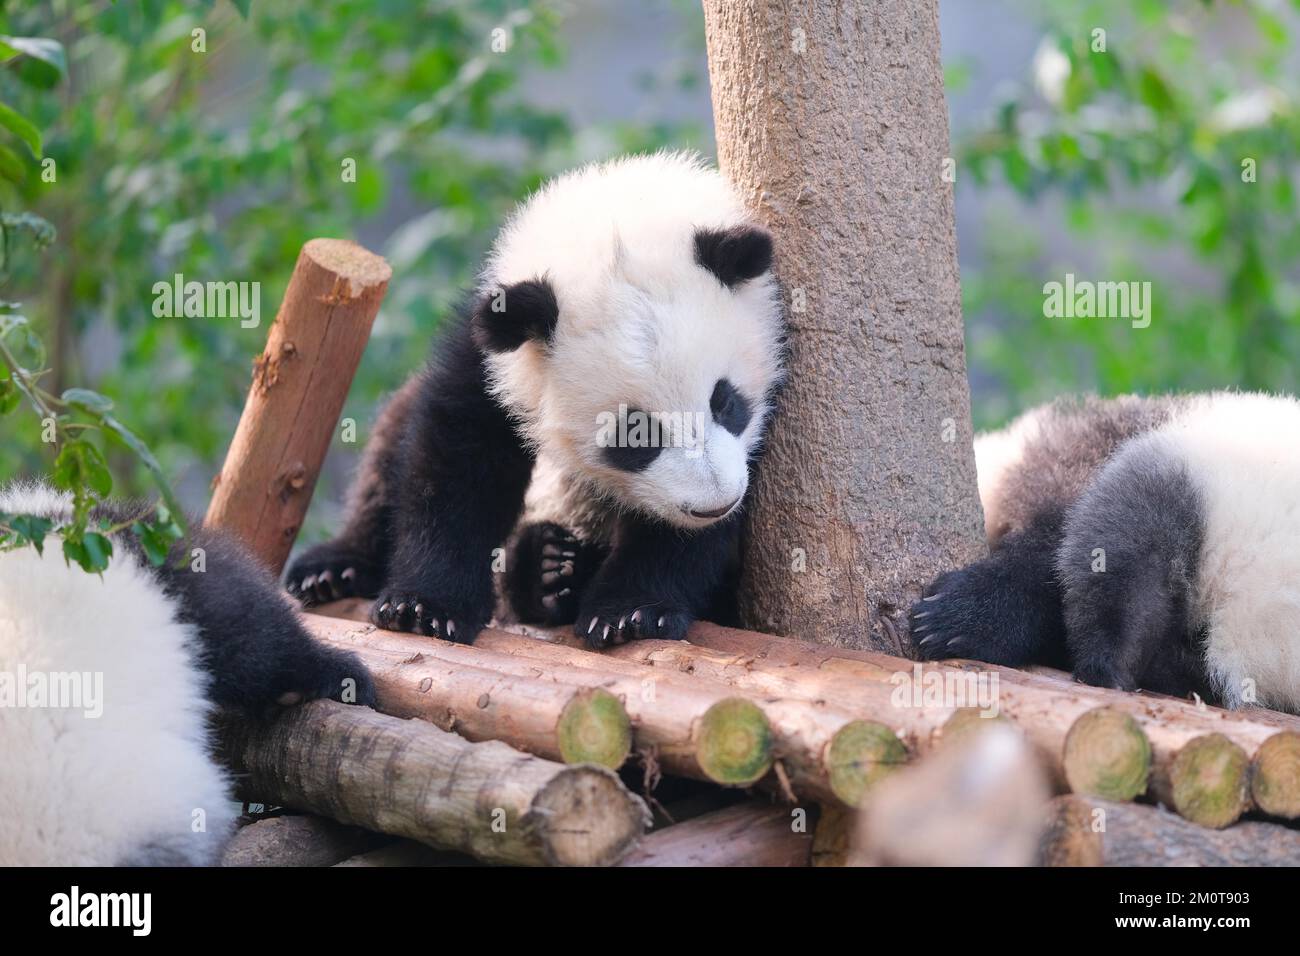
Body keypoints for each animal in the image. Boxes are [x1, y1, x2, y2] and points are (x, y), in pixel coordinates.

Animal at [285, 152, 785, 649]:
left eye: (725, 402)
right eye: (634, 433)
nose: (713, 504)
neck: (614, 222)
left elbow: (686, 536)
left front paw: (631, 612)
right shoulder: (491, 359)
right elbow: (457, 462)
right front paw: (424, 607)